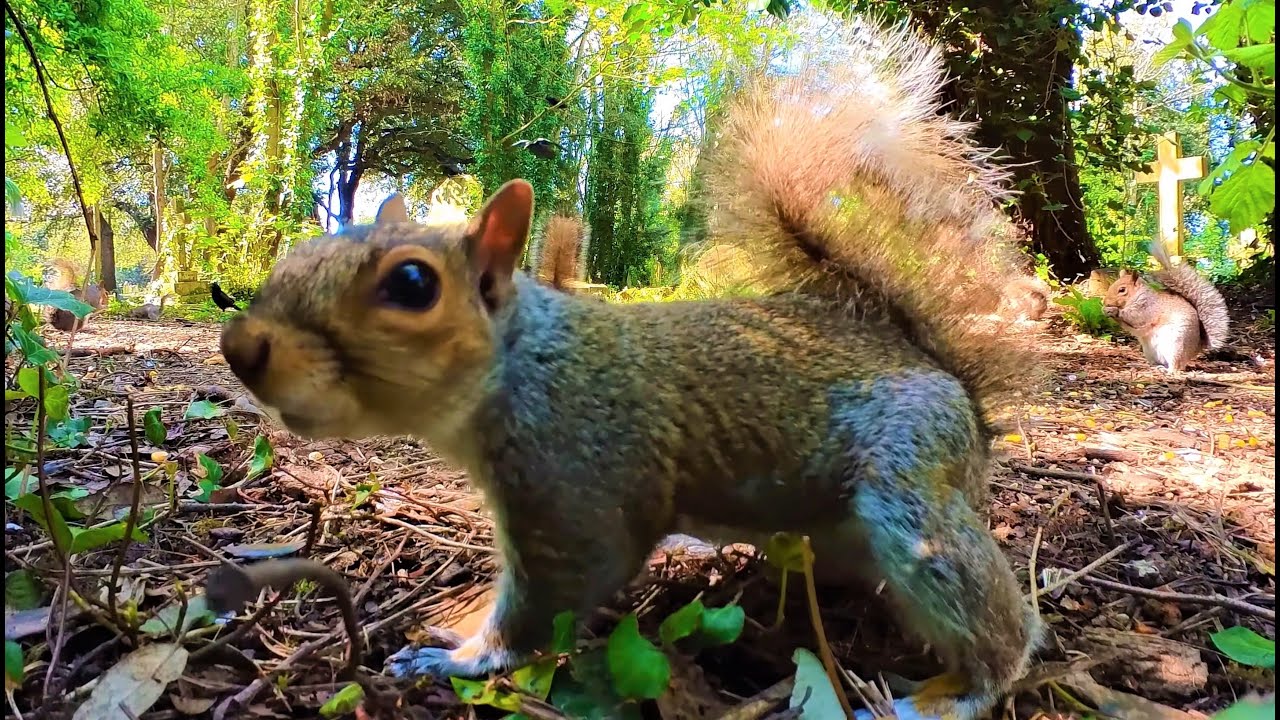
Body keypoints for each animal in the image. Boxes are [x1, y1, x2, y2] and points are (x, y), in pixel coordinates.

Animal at [219, 22, 1042, 720]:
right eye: (298, 252)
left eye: (414, 284)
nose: (241, 346)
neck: (528, 361)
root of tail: (958, 394)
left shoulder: (572, 480)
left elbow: (553, 598)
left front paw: (454, 657)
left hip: (910, 481)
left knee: (1002, 628)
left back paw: (947, 694)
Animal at [1102, 240, 1230, 372]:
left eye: (1122, 290)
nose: (1105, 302)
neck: (1137, 295)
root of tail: (1196, 347)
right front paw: (1105, 310)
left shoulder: (1146, 308)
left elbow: (1133, 317)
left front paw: (1112, 310)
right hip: (1150, 351)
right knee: (1158, 362)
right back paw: (1145, 365)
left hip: (1176, 346)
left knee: (1177, 367)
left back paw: (1167, 370)